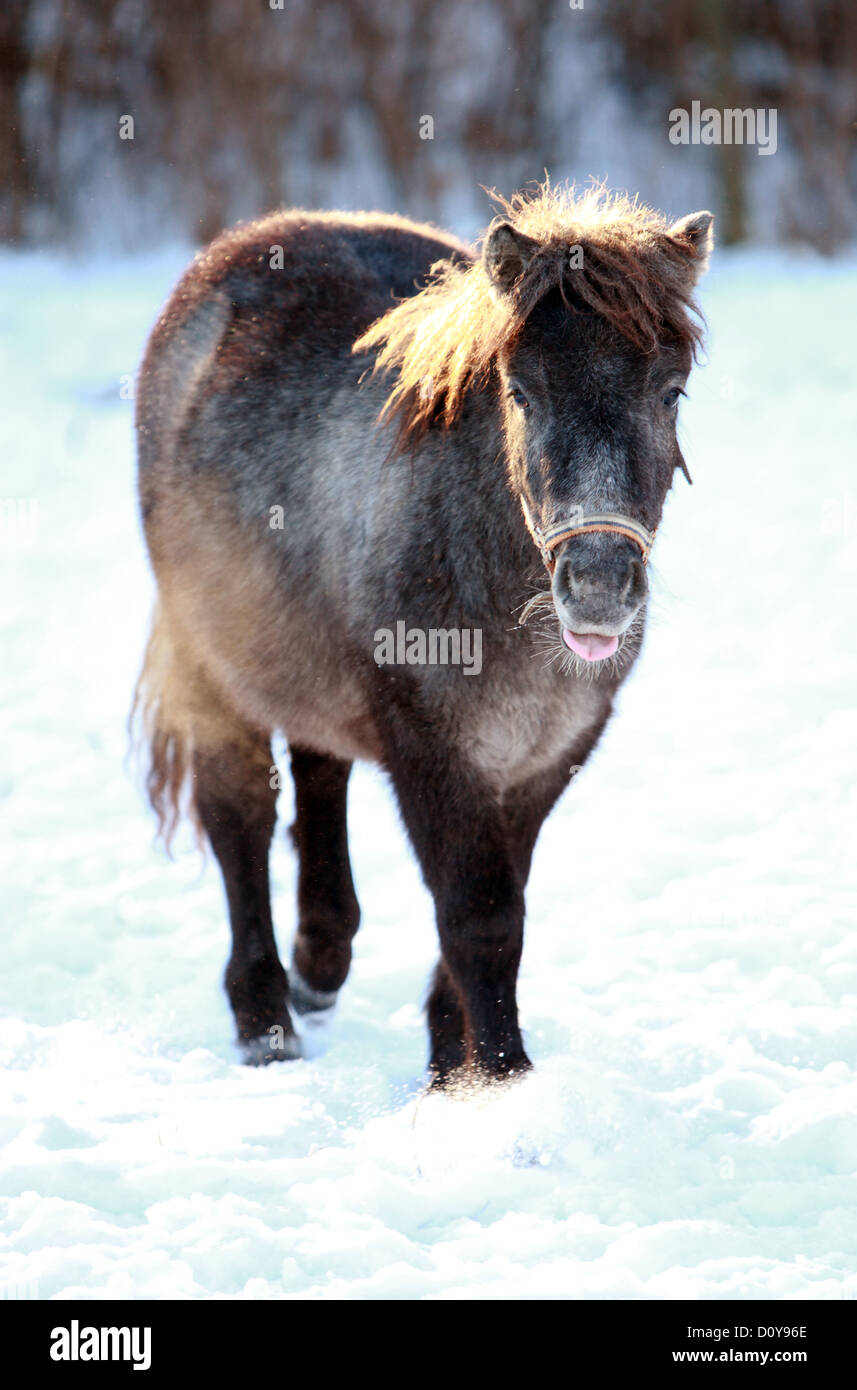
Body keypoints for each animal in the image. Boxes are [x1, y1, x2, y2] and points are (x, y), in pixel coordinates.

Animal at [133, 182, 712, 1084]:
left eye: (670, 392)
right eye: (521, 393)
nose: (597, 586)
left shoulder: (544, 757)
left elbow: (498, 905)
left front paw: (454, 1068)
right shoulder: (431, 749)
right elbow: (479, 919)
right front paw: (503, 1081)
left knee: (319, 772)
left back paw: (321, 962)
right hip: (213, 659)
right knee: (241, 817)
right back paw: (266, 1023)